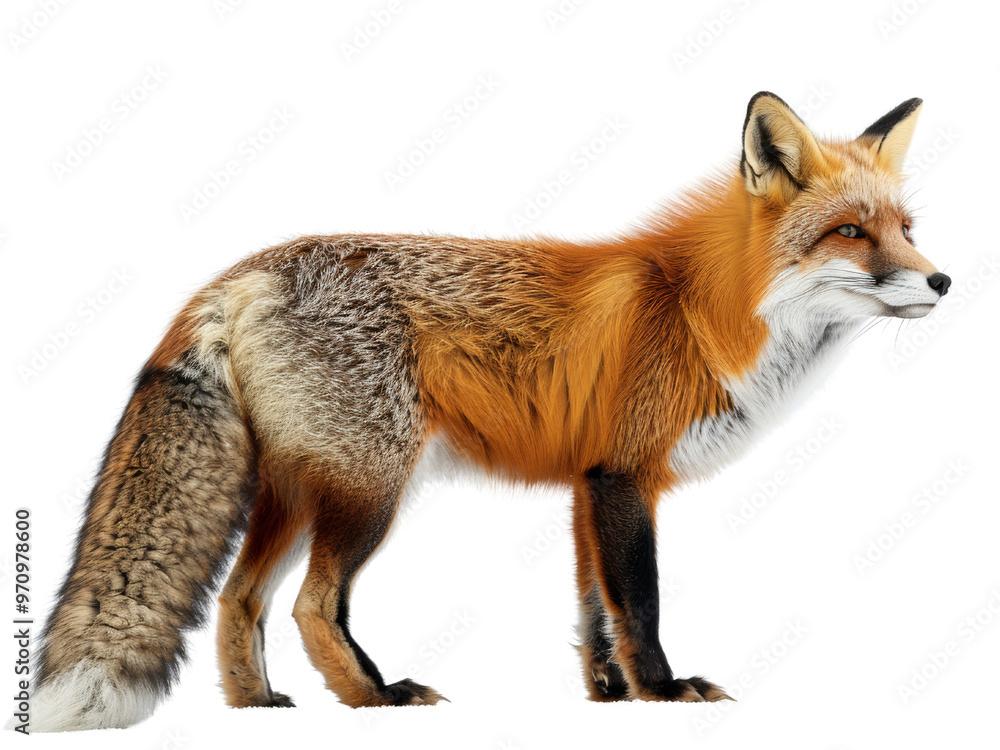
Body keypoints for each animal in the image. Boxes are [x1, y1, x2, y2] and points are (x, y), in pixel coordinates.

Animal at [17, 91, 950, 732]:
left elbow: (594, 611)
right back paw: (377, 698)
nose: (942, 280)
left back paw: (257, 705)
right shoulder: (624, 476)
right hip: (369, 489)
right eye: (852, 233)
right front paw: (662, 692)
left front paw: (608, 697)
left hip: (293, 494)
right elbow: (641, 604)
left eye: (907, 228)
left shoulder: (586, 485)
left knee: (238, 601)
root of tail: (239, 275)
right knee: (312, 605)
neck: (701, 310)